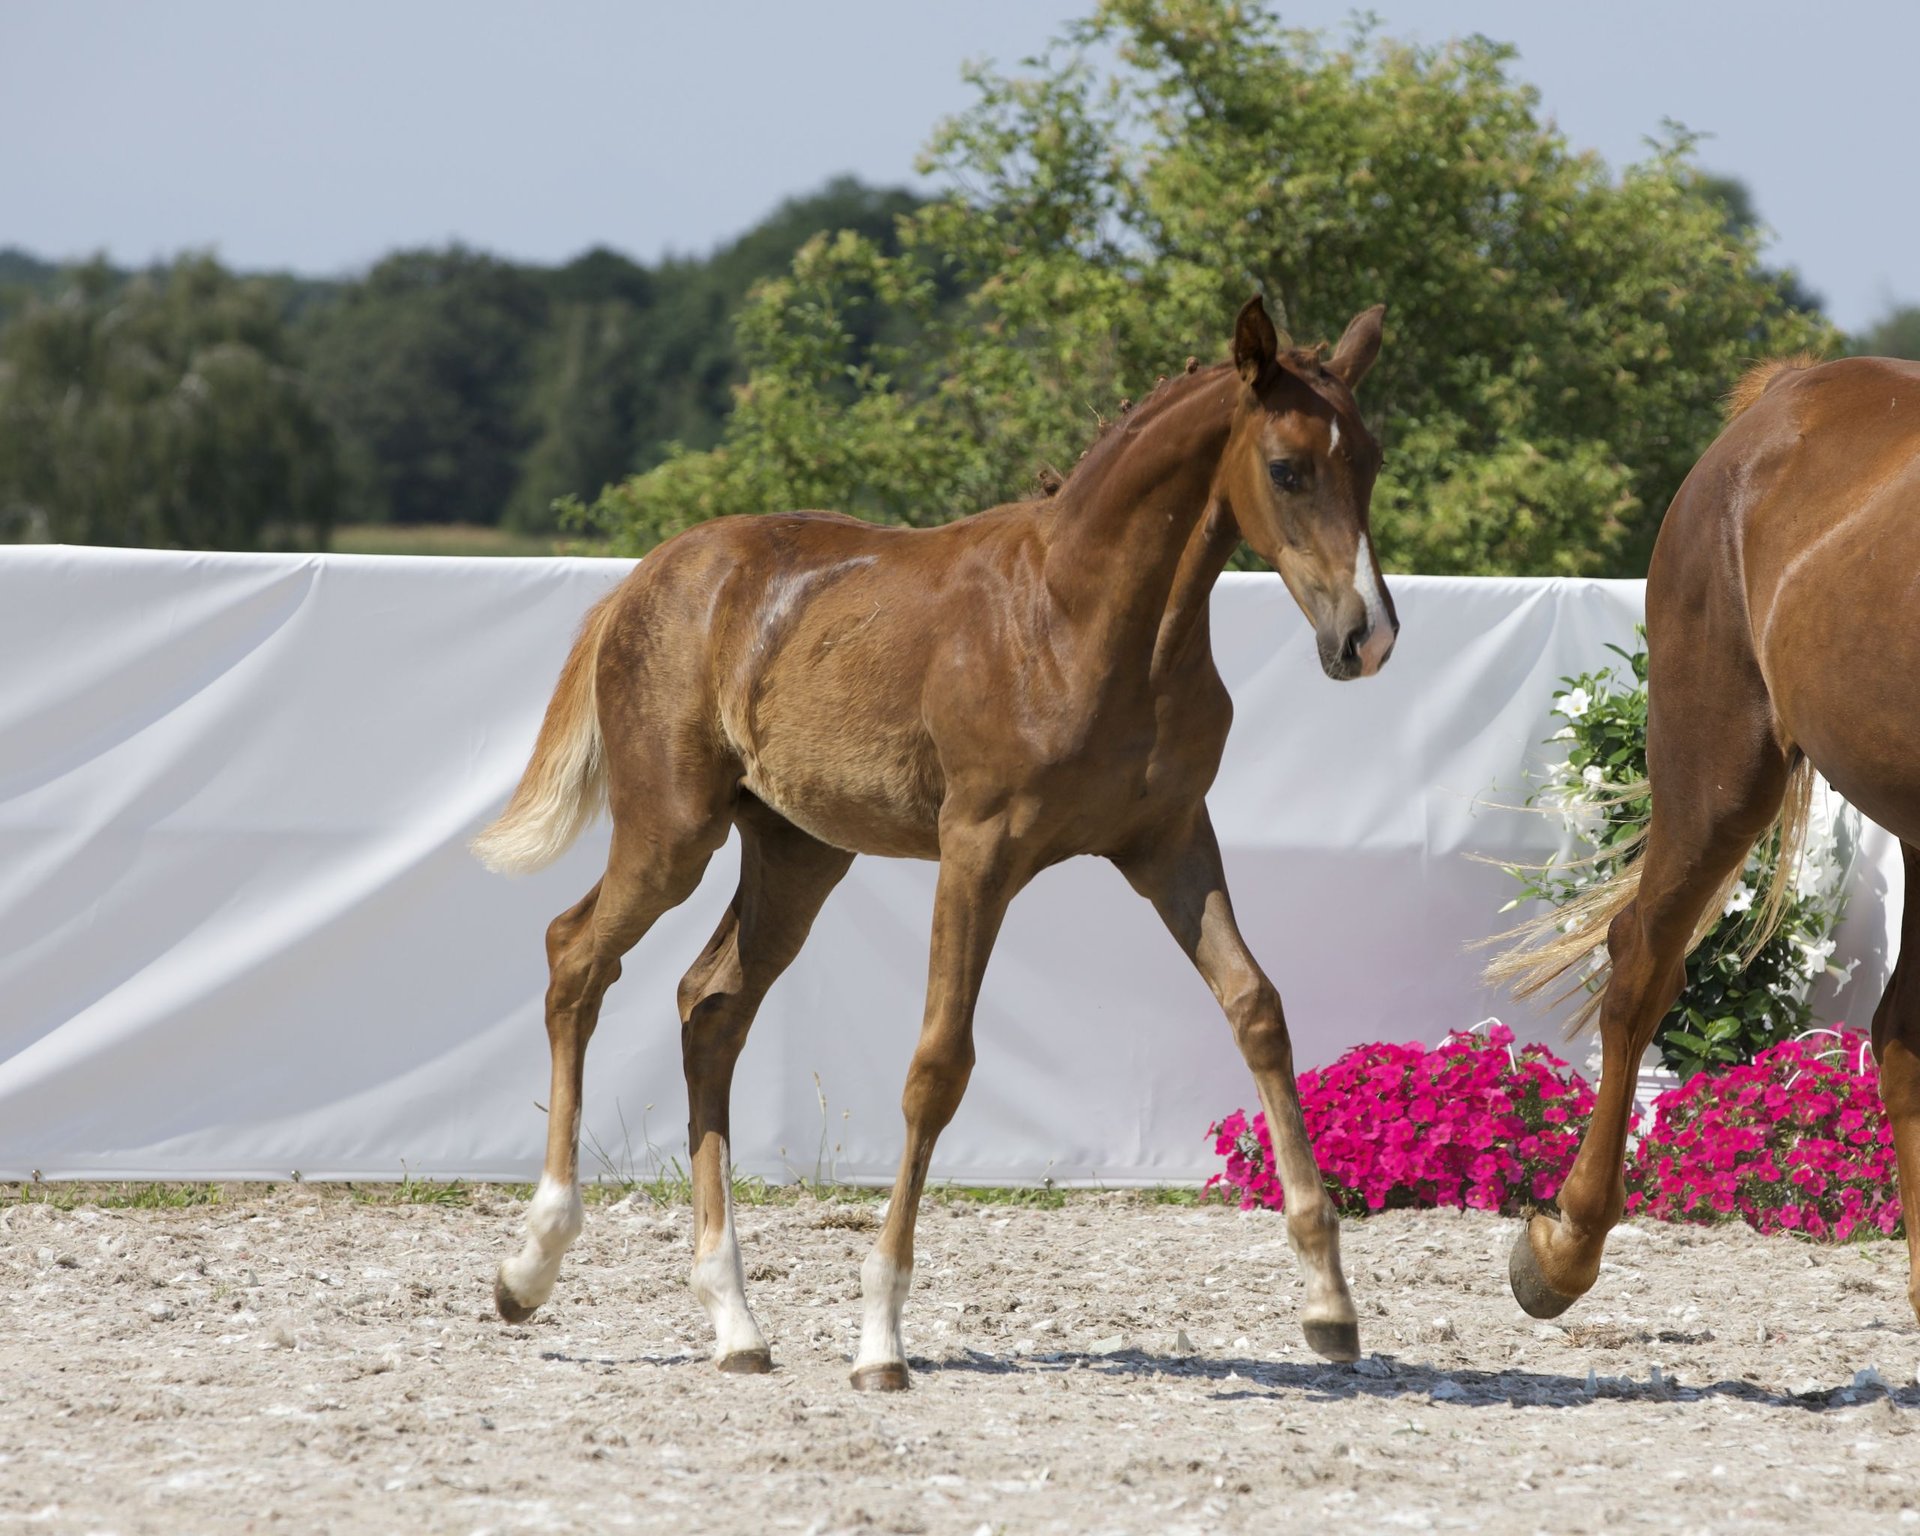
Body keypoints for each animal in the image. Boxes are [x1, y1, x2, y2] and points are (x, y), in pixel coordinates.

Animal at [472, 295, 1396, 1390]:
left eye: (1371, 459)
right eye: (1289, 468)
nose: (1367, 638)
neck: (1082, 622)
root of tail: (641, 582)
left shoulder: (1169, 841)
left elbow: (1256, 1007)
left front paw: (1330, 1304)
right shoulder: (980, 850)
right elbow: (938, 1065)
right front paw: (881, 1336)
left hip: (798, 853)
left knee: (711, 1007)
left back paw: (735, 1320)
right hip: (673, 832)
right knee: (577, 956)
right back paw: (530, 1267)